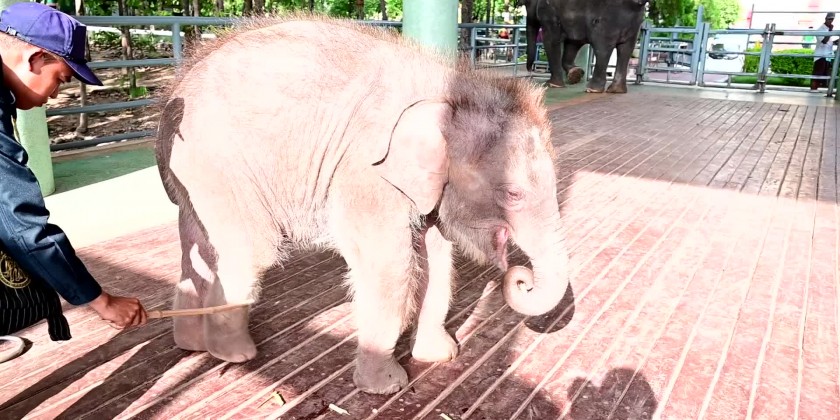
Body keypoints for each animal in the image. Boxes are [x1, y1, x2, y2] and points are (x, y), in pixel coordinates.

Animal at [154, 14, 571, 395]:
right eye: (513, 194)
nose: (521, 277)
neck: (453, 88)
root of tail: (176, 85)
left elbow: (436, 259)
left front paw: (440, 356)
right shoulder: (364, 172)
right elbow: (391, 265)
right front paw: (386, 386)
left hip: (193, 177)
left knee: (198, 246)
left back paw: (192, 345)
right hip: (217, 163)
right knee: (250, 250)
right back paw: (235, 354)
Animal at [517, 0, 648, 93]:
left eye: (526, 2)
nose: (529, 70)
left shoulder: (549, 12)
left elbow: (550, 41)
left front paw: (552, 84)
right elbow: (573, 42)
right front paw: (575, 74)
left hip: (607, 22)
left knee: (602, 49)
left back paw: (592, 89)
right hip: (635, 22)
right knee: (626, 49)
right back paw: (616, 90)